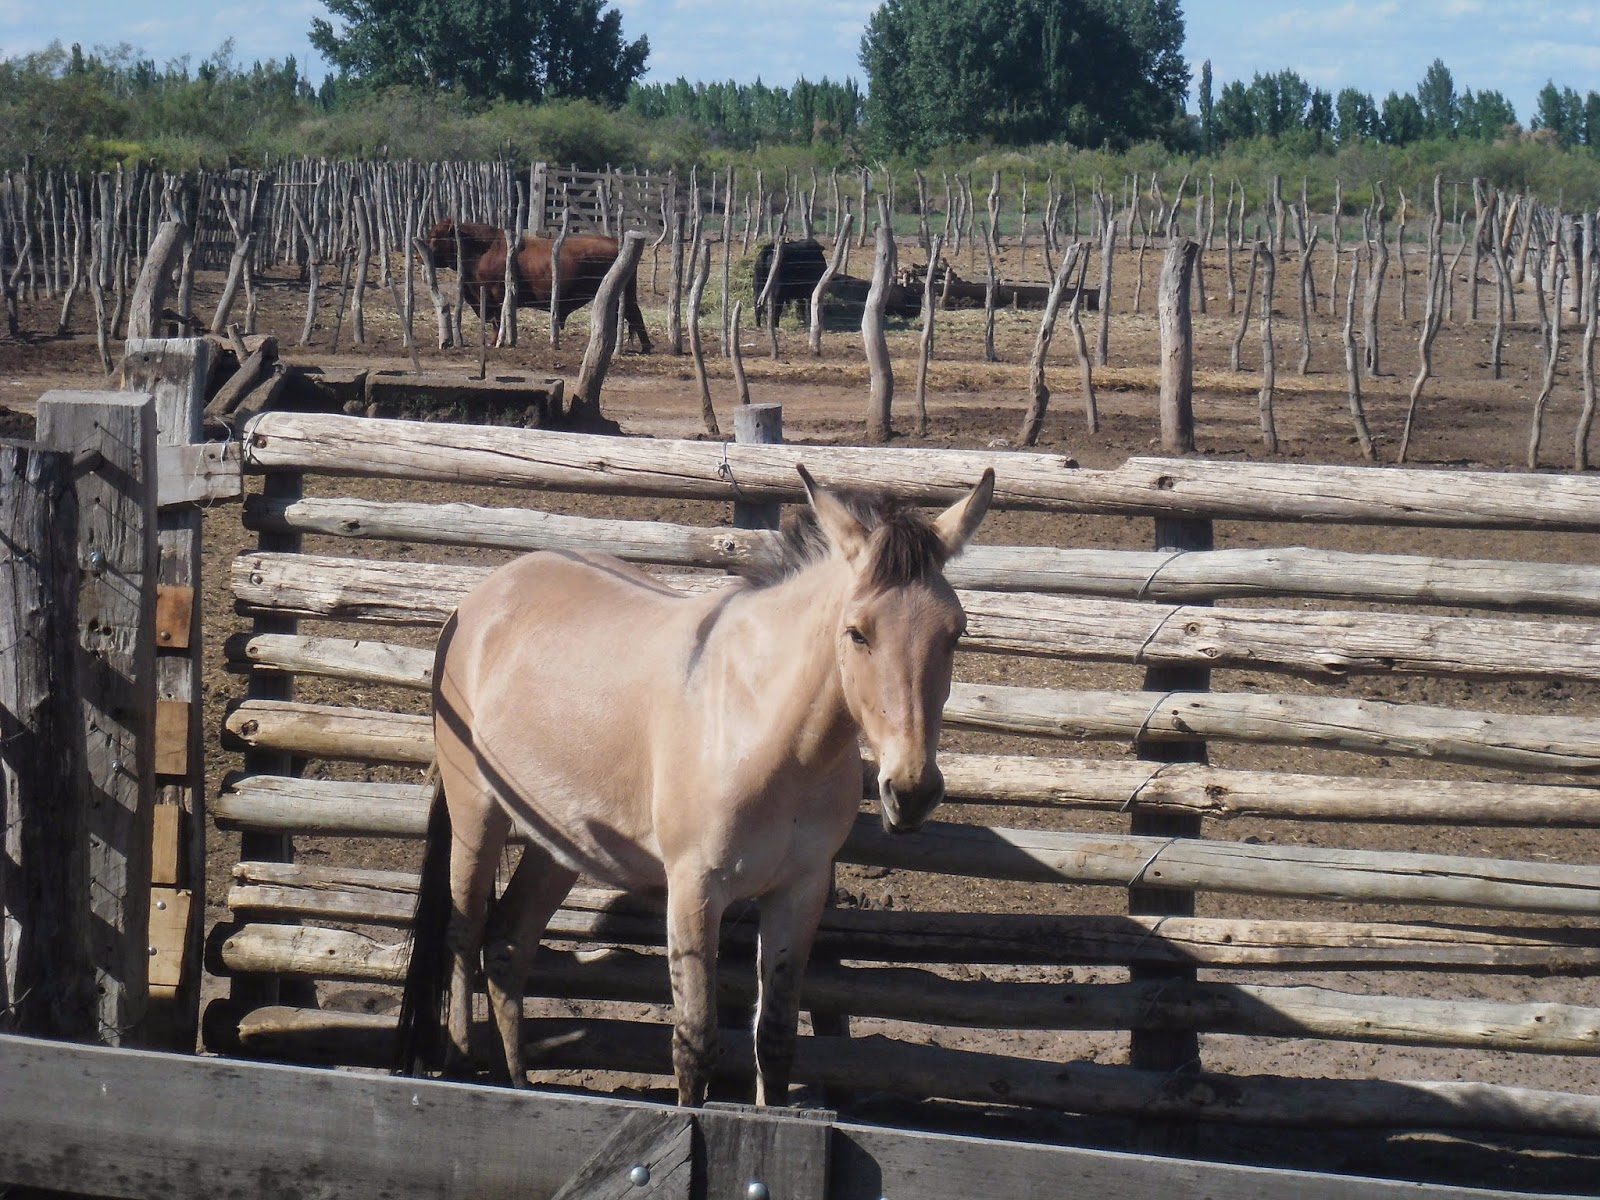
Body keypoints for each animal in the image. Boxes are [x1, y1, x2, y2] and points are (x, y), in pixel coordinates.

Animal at [396, 464, 995, 1106]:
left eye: (955, 633)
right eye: (857, 633)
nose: (911, 791)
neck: (763, 730)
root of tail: (485, 596)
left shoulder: (798, 892)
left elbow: (775, 1041)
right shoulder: (694, 891)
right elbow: (695, 1044)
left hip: (559, 840)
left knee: (507, 945)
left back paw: (519, 1087)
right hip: (477, 815)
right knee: (463, 935)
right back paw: (463, 1071)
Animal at [424, 218, 653, 352]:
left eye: (436, 236)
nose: (420, 255)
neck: (484, 249)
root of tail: (616, 242)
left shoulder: (495, 295)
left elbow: (497, 321)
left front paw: (494, 342)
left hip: (625, 296)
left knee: (634, 314)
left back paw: (645, 347)